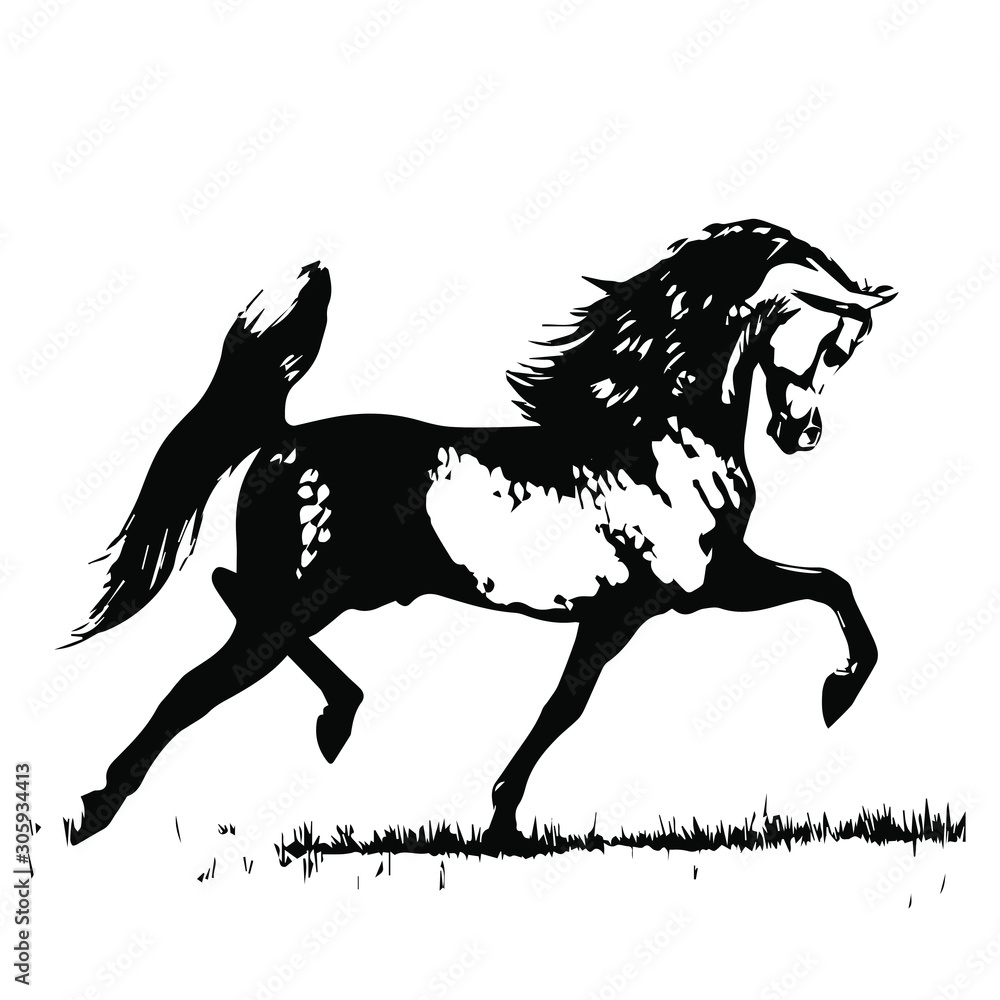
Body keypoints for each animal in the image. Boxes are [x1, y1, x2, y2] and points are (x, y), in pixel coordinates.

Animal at [64, 219, 895, 851]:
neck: (663, 435)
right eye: (833, 346)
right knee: (199, 681)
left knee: (225, 589)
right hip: (312, 594)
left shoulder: (698, 585)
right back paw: (95, 812)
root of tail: (283, 437)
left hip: (330, 590)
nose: (803, 434)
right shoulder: (665, 598)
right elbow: (567, 706)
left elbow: (830, 586)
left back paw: (338, 718)